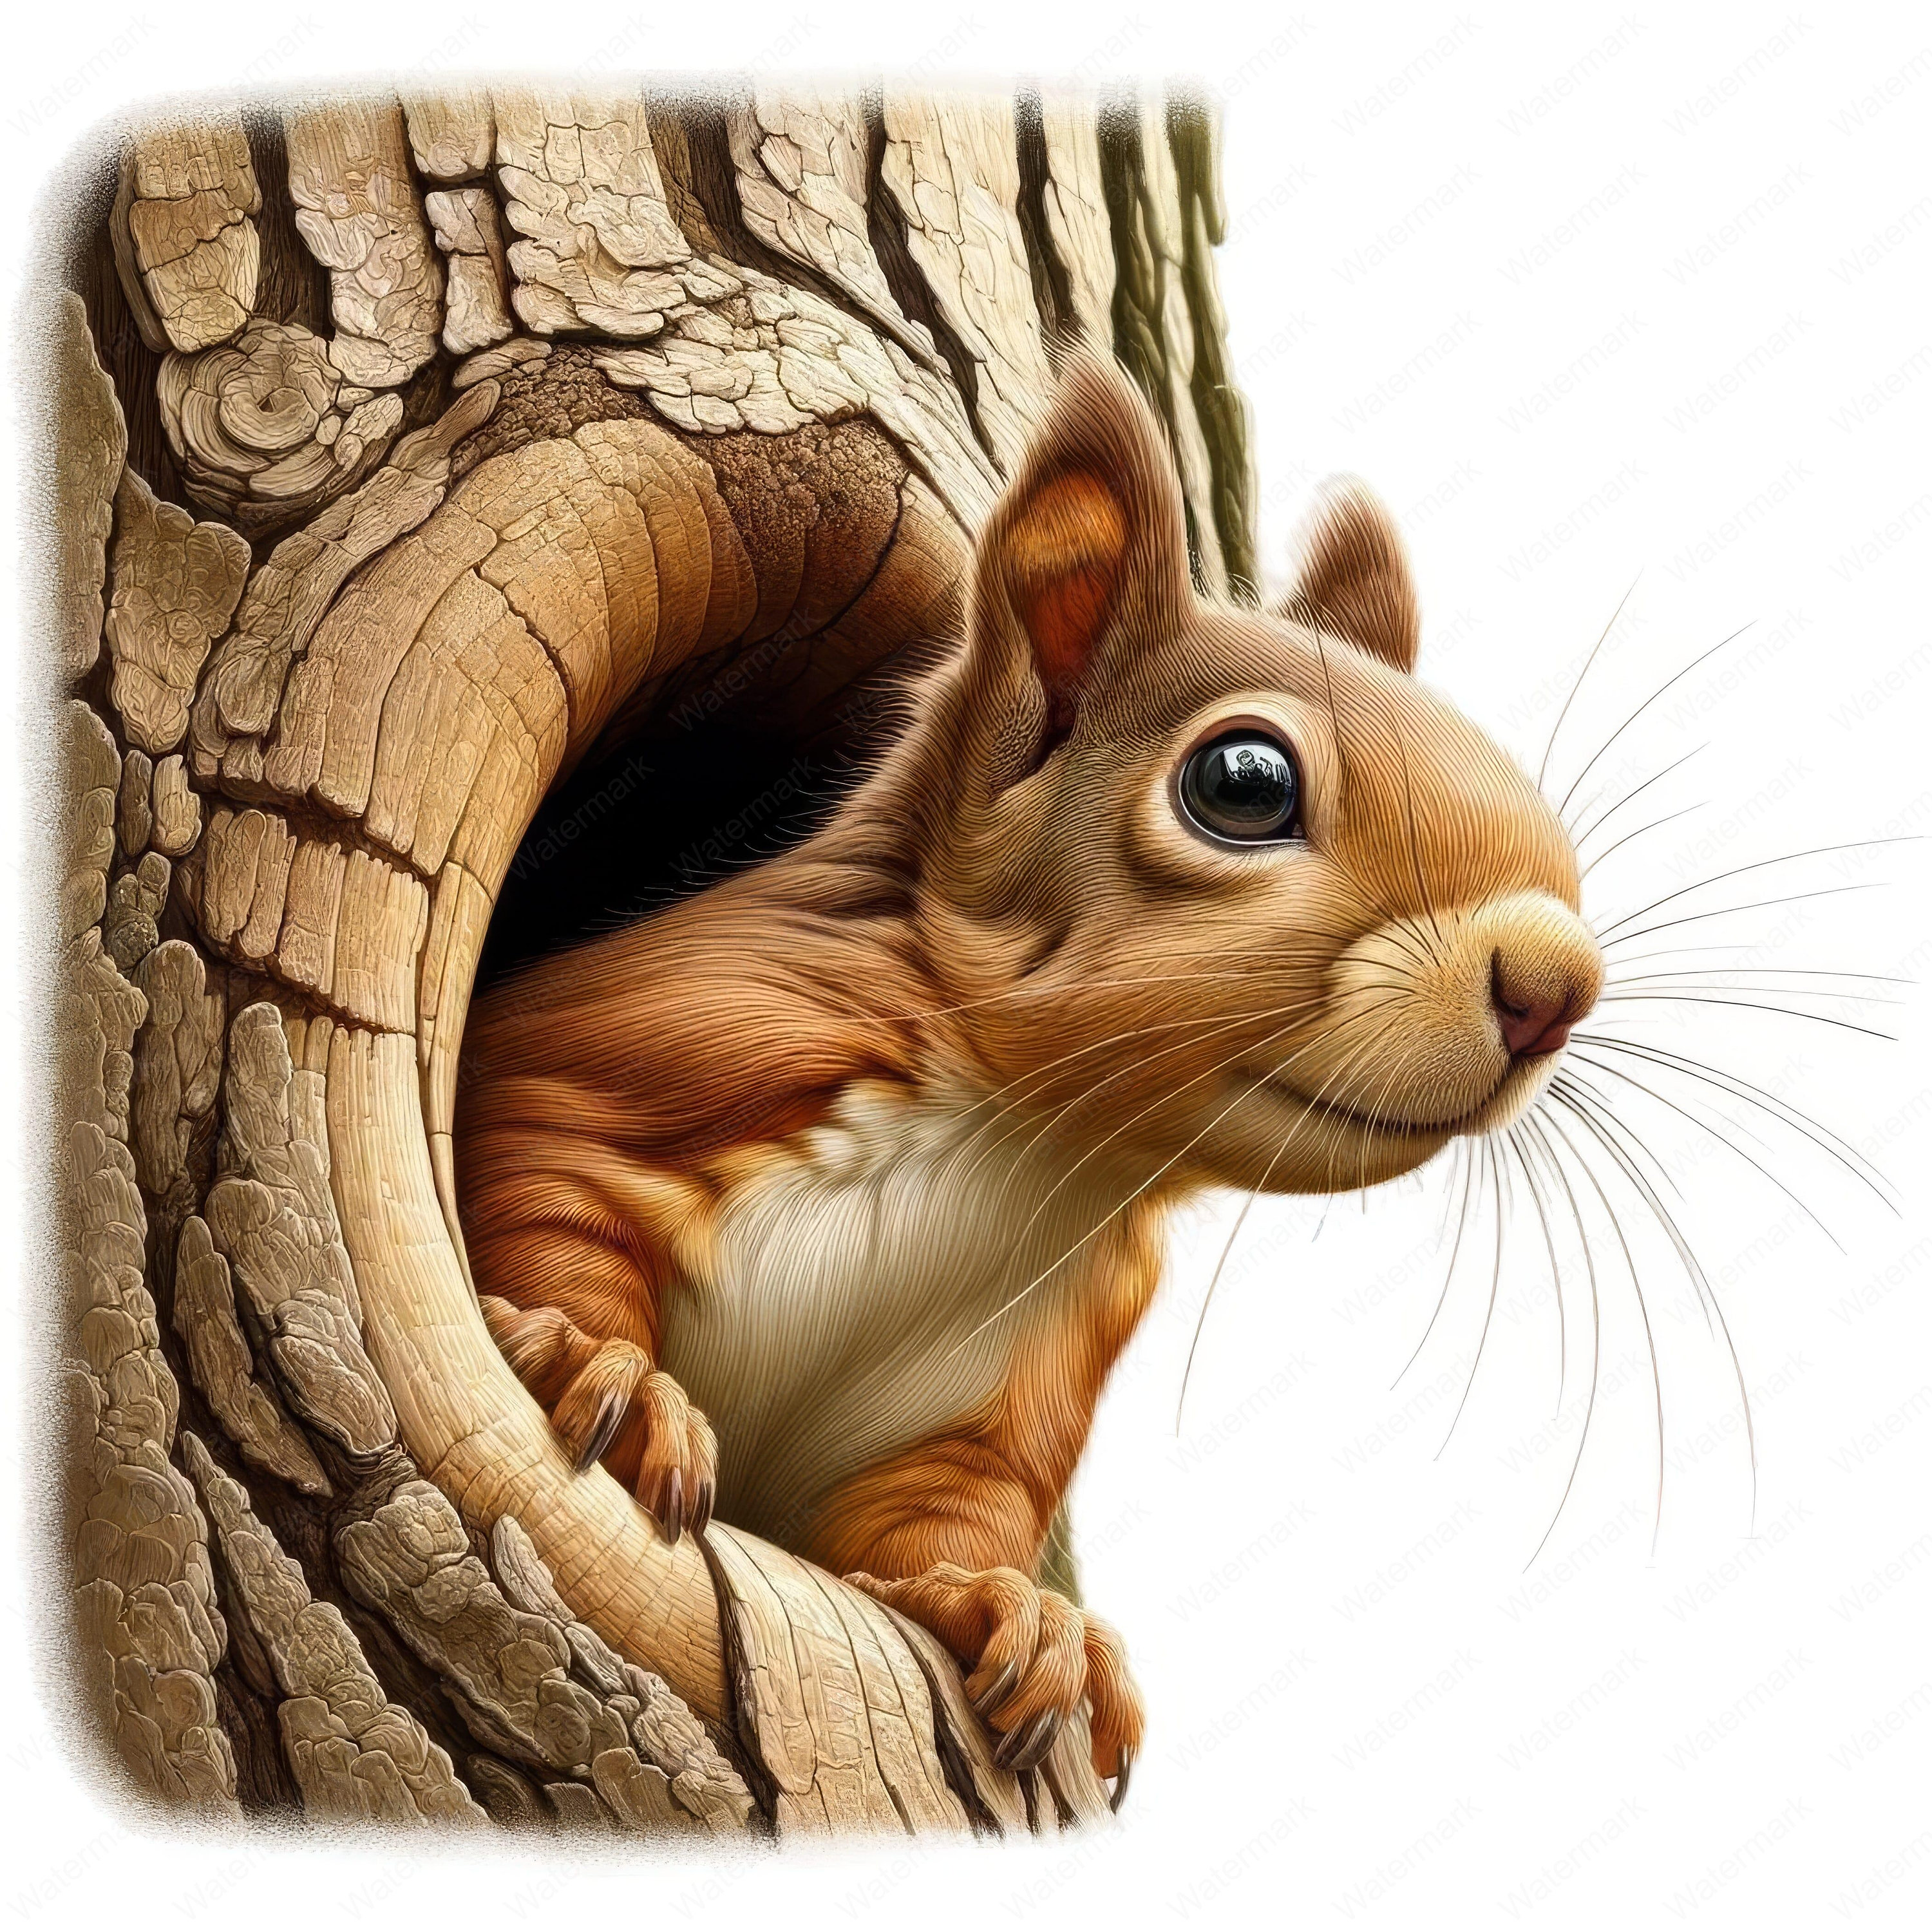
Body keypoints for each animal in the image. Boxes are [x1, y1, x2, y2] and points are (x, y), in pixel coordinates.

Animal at [455, 354, 1603, 1799]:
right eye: (1243, 782)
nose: (1558, 984)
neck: (1023, 1143)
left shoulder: (1002, 1383)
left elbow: (928, 1527)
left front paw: (1022, 1616)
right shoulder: (641, 1052)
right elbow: (536, 1200)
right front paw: (602, 1377)